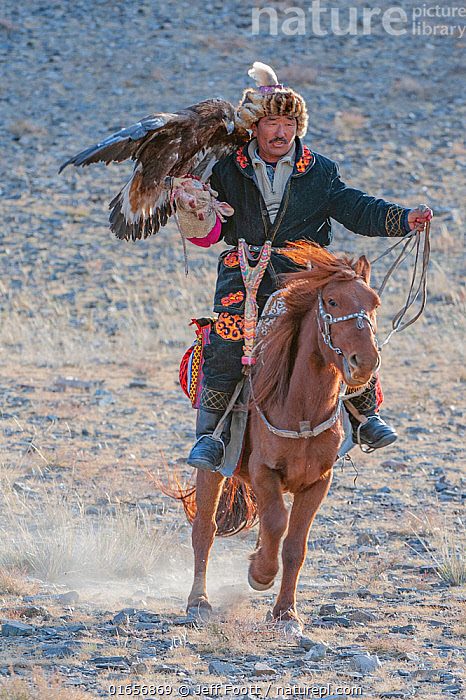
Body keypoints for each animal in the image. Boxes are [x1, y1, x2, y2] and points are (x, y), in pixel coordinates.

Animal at [165, 245, 381, 630]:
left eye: (374, 302)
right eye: (332, 301)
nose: (365, 362)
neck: (302, 407)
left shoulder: (319, 481)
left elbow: (295, 543)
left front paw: (286, 613)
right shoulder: (265, 472)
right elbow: (278, 522)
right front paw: (260, 574)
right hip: (213, 468)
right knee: (204, 530)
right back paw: (199, 602)